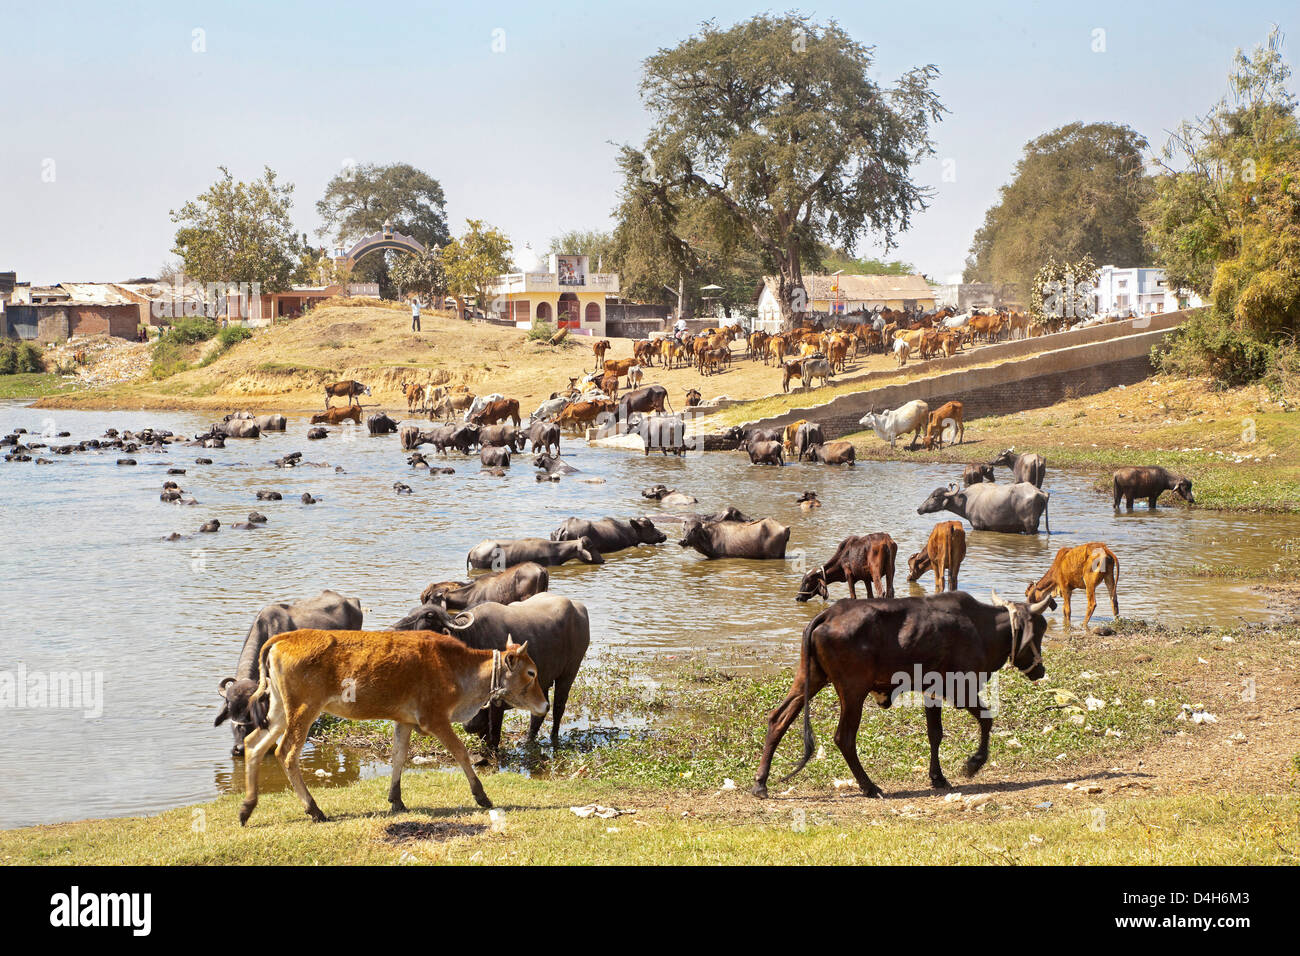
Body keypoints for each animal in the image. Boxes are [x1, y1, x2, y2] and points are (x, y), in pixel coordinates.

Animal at [238, 631, 546, 824]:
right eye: (531, 673)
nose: (545, 705)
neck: (456, 667)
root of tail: (285, 637)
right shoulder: (435, 719)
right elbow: (460, 752)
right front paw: (482, 796)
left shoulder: (405, 721)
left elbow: (399, 756)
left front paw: (396, 799)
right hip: (303, 711)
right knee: (286, 753)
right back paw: (314, 810)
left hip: (280, 711)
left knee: (253, 744)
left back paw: (247, 808)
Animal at [393, 595, 590, 749]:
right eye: (411, 614)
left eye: (428, 618)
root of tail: (579, 608)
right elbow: (474, 725)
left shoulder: (498, 701)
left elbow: (493, 731)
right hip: (542, 682)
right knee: (539, 711)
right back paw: (528, 740)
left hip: (569, 673)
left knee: (558, 707)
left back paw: (553, 738)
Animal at [751, 590, 1053, 799]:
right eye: (1039, 630)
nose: (1040, 670)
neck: (982, 627)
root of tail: (828, 614)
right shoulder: (960, 688)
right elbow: (987, 719)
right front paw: (973, 764)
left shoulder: (933, 691)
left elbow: (935, 734)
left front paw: (938, 777)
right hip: (853, 691)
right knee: (844, 738)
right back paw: (869, 786)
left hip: (810, 678)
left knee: (778, 719)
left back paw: (760, 783)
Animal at [917, 482, 1050, 534]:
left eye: (935, 496)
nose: (919, 509)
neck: (967, 500)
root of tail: (1040, 493)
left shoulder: (978, 526)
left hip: (1030, 527)